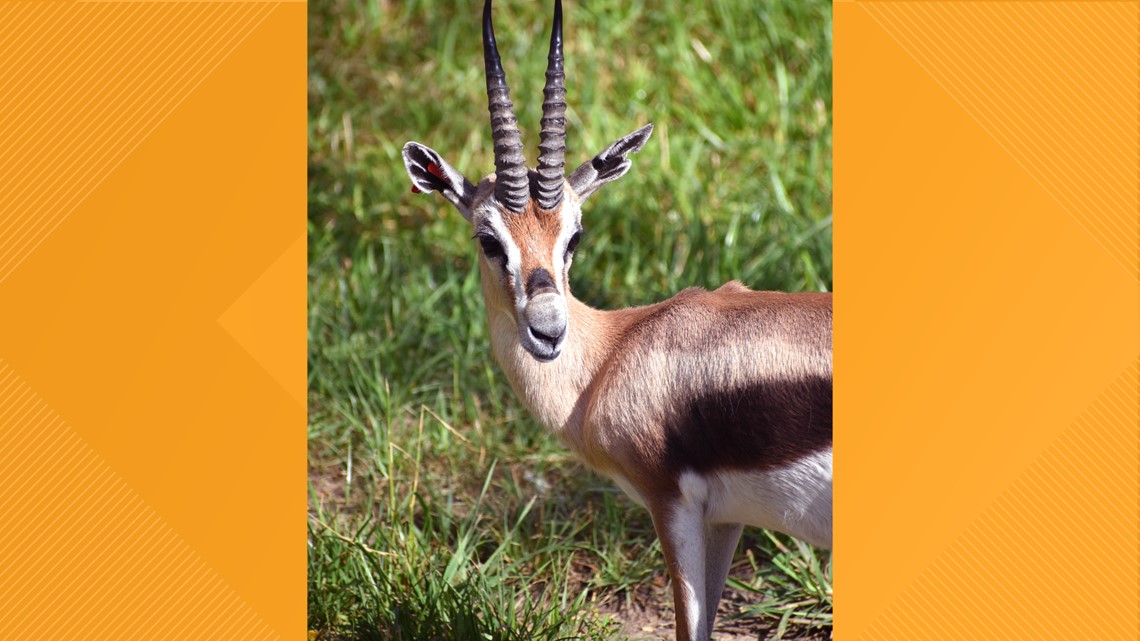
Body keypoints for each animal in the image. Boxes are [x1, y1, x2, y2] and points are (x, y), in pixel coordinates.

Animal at [400, 2, 831, 639]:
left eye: (574, 235)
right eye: (489, 239)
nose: (548, 331)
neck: (611, 353)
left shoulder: (671, 502)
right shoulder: (726, 517)